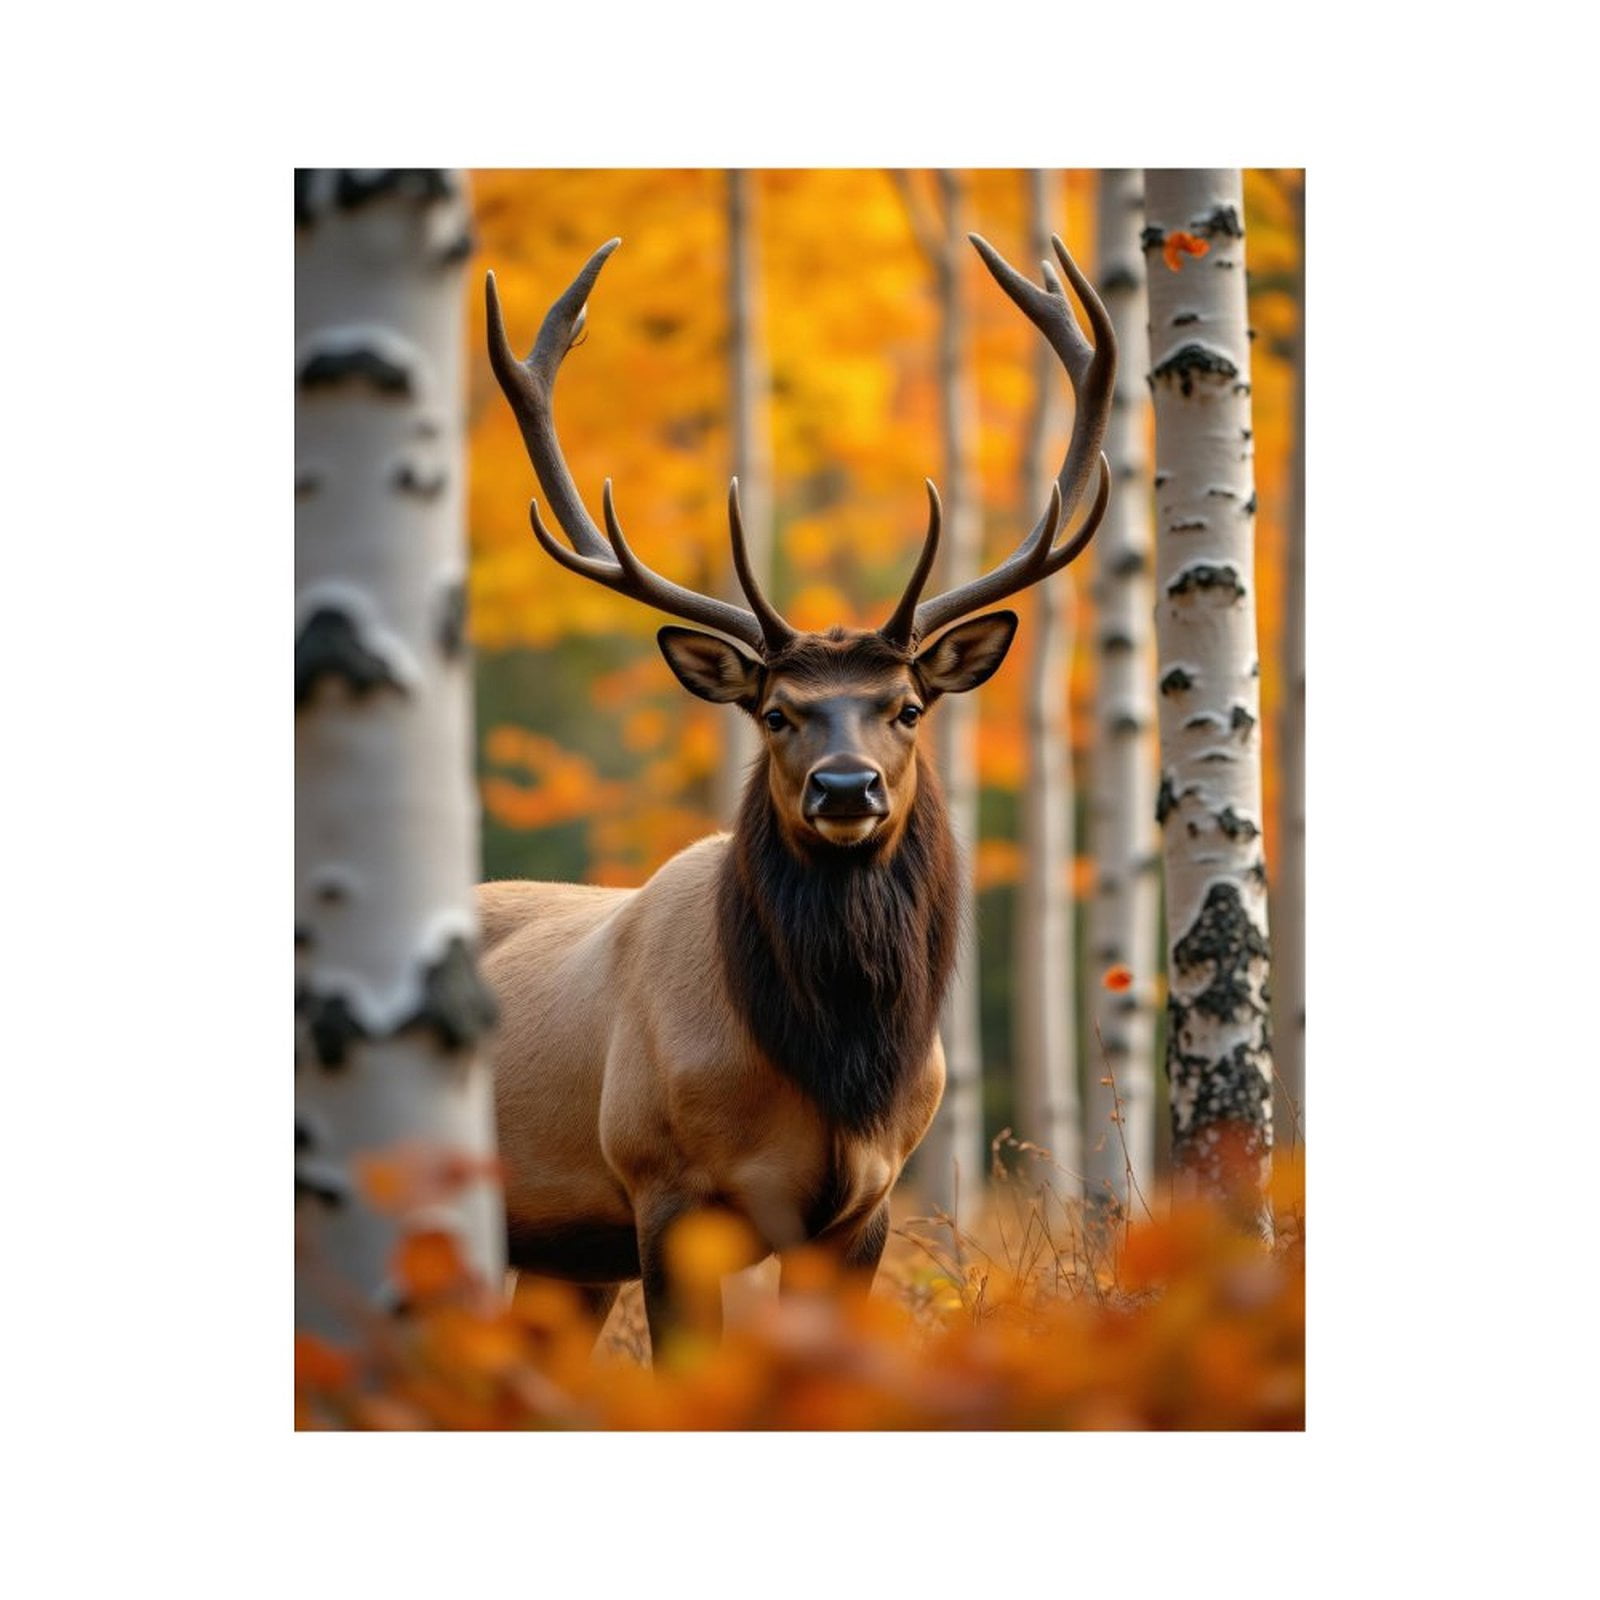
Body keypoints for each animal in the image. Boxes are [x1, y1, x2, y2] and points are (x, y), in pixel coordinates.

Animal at [478, 230, 1115, 1360]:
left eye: (907, 706)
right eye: (776, 712)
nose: (845, 786)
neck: (835, 1065)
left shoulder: (864, 1207)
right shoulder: (664, 1188)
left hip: (563, 1256)